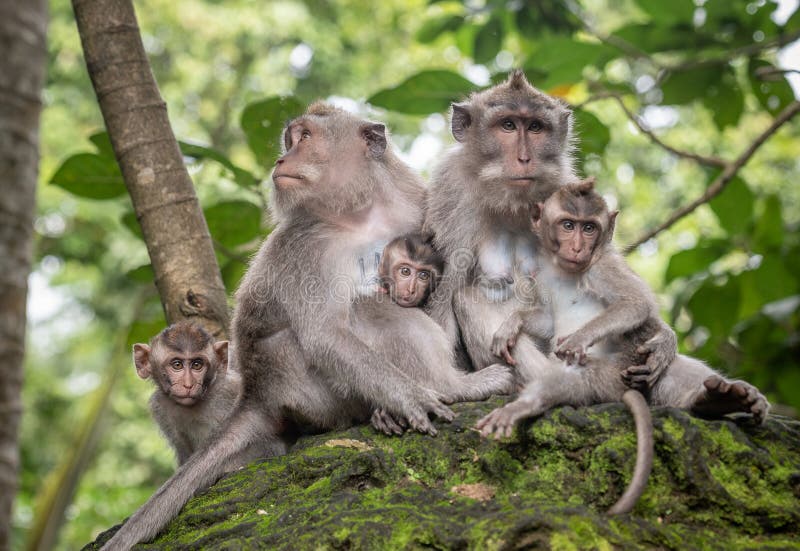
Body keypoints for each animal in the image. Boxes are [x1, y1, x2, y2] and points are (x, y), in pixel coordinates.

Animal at [424, 70, 678, 389]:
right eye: (508, 125)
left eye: (535, 127)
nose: (524, 158)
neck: (511, 203)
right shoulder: (452, 201)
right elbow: (445, 292)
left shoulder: (565, 188)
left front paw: (664, 337)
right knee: (468, 299)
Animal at [475, 180, 770, 513]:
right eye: (568, 225)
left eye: (589, 228)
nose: (578, 247)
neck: (566, 270)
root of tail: (623, 384)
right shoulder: (538, 272)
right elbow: (547, 320)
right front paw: (513, 323)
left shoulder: (604, 266)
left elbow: (635, 305)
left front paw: (579, 338)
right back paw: (717, 400)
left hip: (617, 371)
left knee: (578, 379)